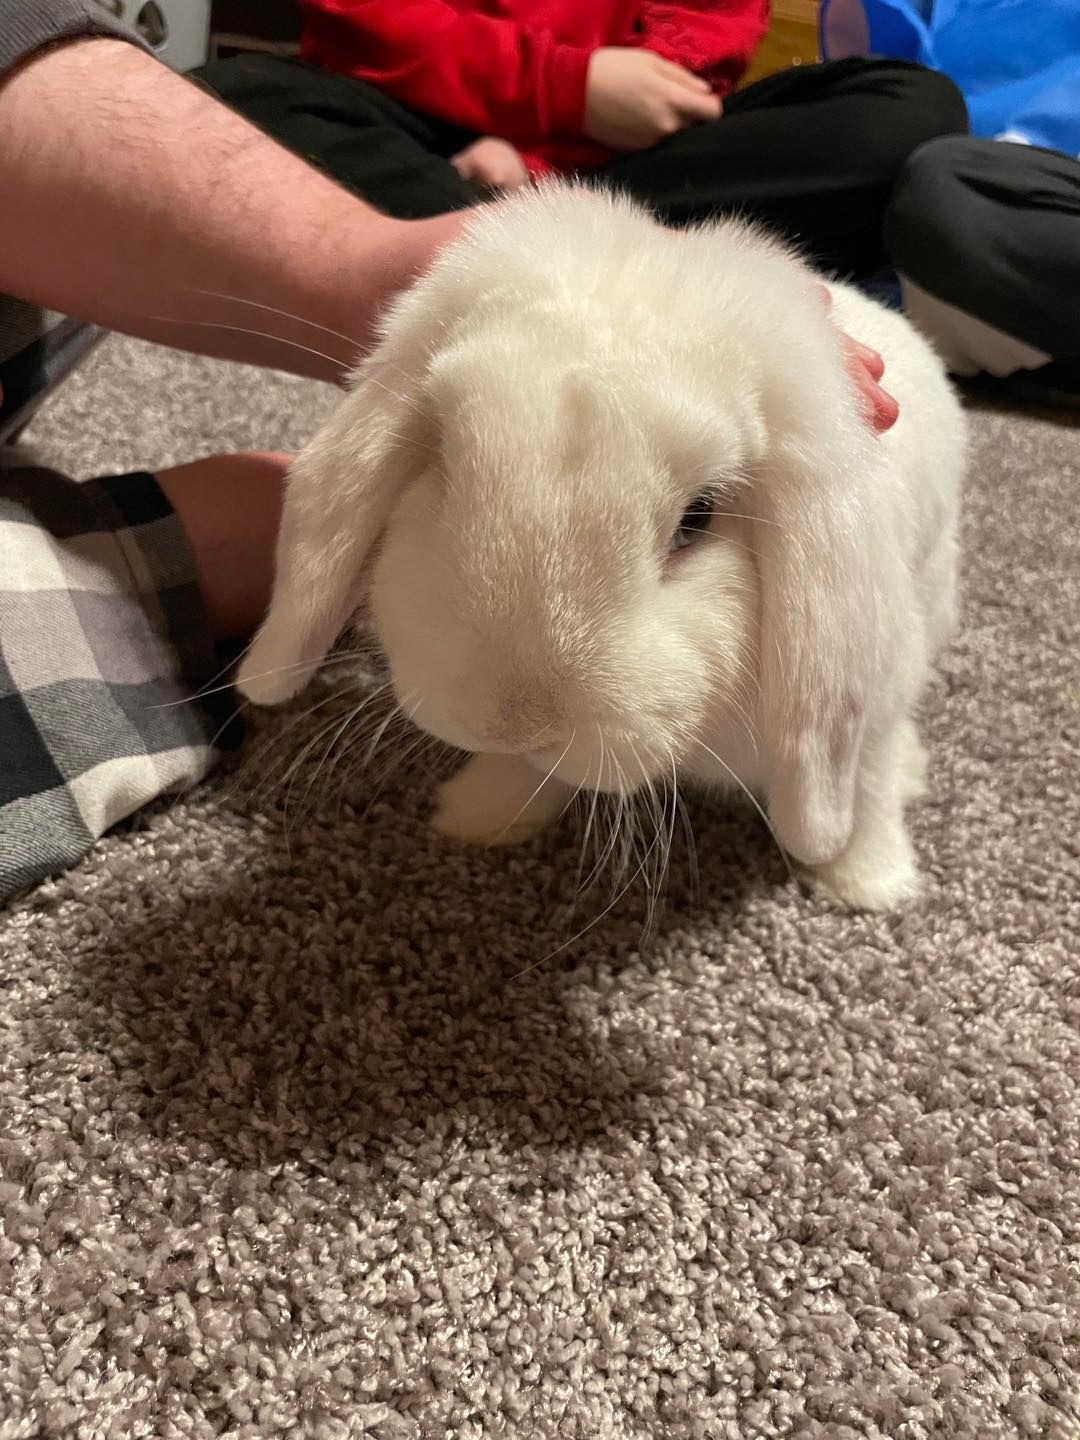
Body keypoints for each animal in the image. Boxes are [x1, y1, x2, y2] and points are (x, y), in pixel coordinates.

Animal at [236, 184, 965, 911]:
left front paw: (865, 881)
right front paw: (481, 813)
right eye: (444, 460)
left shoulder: (876, 690)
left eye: (698, 518)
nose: (514, 723)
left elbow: (864, 781)